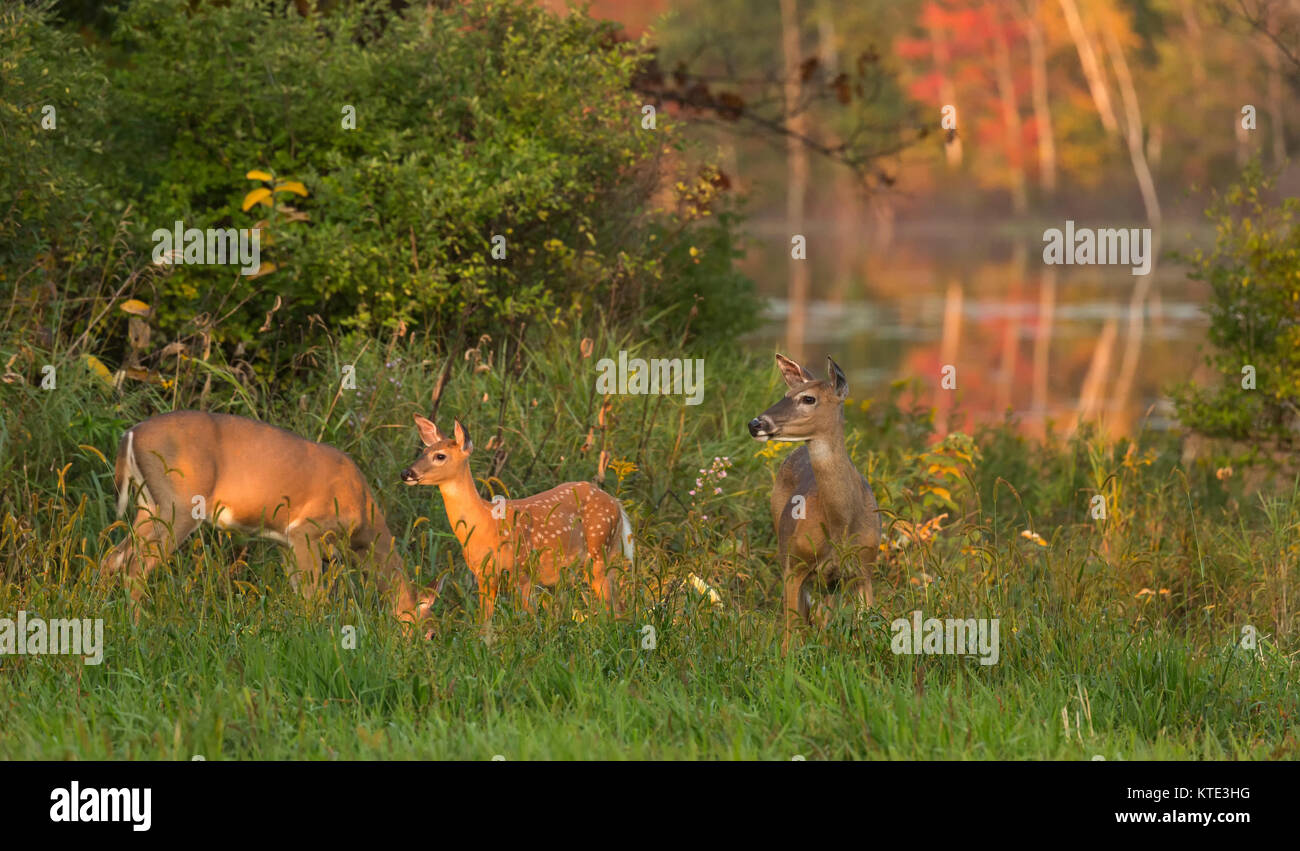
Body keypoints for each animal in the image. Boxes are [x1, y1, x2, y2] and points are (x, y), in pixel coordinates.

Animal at [101, 411, 423, 627]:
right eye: (428, 632)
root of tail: (130, 434)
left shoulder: (286, 543)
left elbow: (300, 591)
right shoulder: (306, 531)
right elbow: (313, 596)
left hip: (148, 506)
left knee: (113, 557)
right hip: (177, 506)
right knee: (135, 566)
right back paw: (137, 624)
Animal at [401, 415, 633, 627]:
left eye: (440, 456)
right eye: (423, 452)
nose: (406, 473)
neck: (485, 522)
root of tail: (617, 504)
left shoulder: (523, 569)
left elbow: (531, 619)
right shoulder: (483, 575)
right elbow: (485, 623)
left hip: (600, 551)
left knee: (614, 609)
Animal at [748, 354, 882, 652]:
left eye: (808, 398)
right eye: (786, 395)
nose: (755, 424)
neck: (842, 524)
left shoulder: (864, 568)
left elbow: (867, 628)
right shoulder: (795, 566)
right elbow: (790, 632)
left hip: (830, 582)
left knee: (822, 615)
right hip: (788, 553)